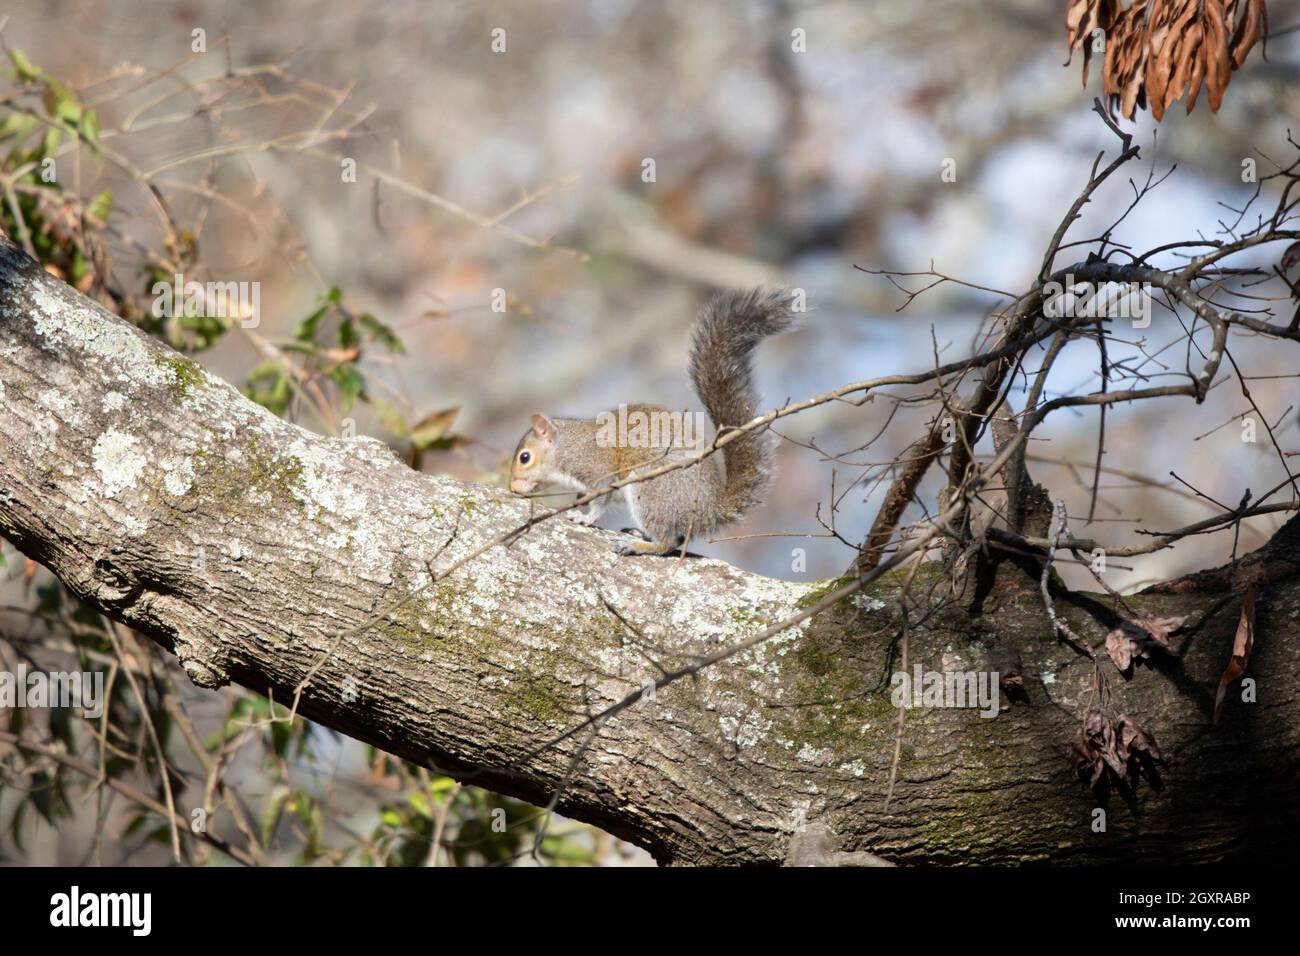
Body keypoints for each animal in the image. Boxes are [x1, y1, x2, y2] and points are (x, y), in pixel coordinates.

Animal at [508, 287, 793, 555]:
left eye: (525, 457)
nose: (512, 488)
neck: (566, 445)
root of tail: (709, 512)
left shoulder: (596, 469)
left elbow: (600, 499)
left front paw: (585, 518)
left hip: (650, 488)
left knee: (668, 542)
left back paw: (640, 545)